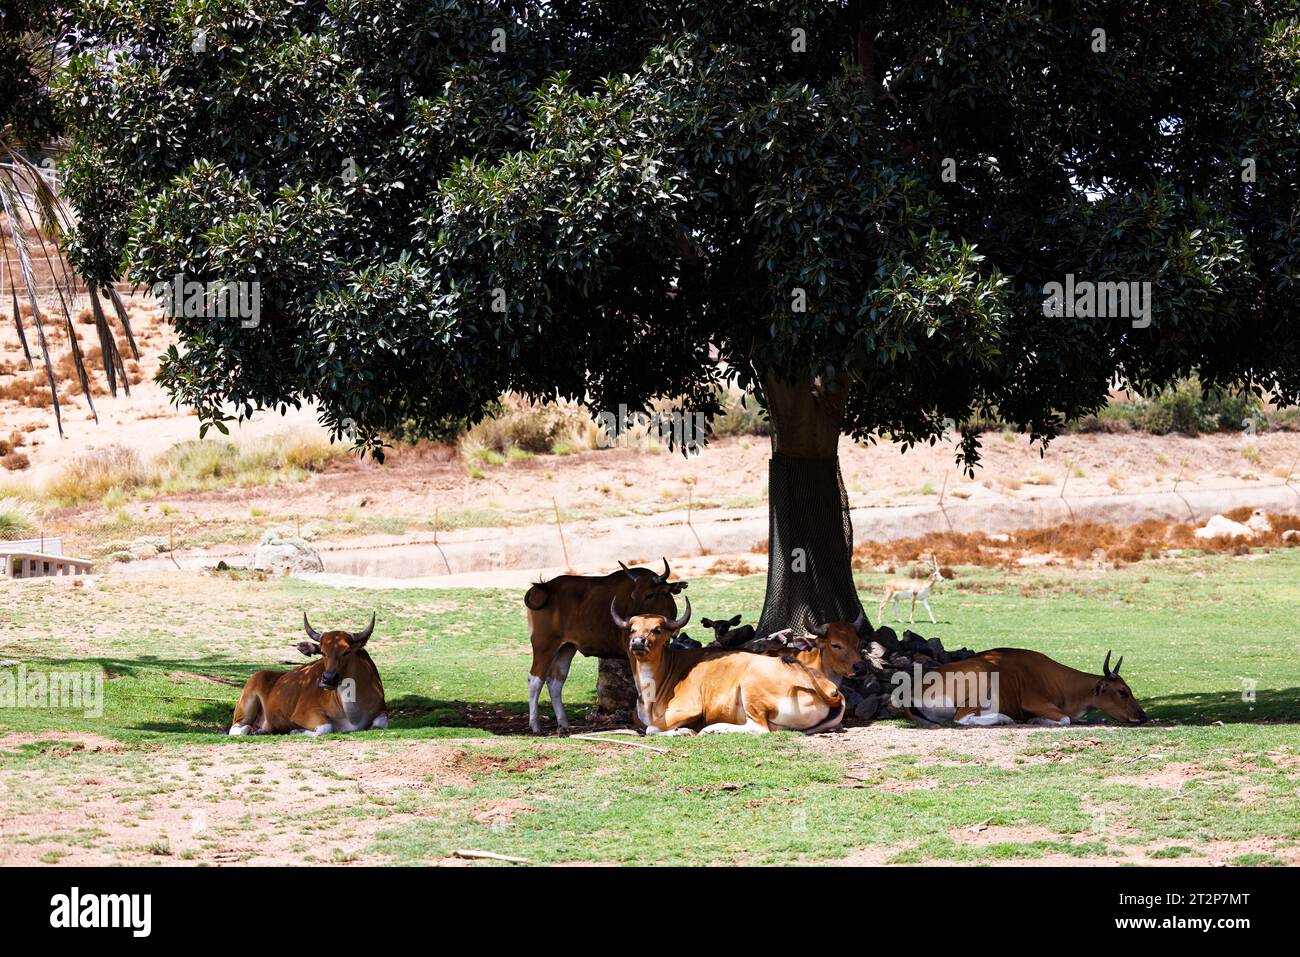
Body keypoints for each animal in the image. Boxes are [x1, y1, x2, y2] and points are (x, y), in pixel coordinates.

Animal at [228, 613, 387, 736]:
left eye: (347, 651)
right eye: (322, 651)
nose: (328, 678)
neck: (351, 713)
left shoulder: (382, 711)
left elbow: (380, 723)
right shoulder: (303, 713)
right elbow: (326, 727)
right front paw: (296, 731)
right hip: (245, 704)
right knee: (237, 728)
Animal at [524, 558, 684, 734]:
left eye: (650, 594)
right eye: (633, 595)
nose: (629, 622)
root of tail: (543, 587)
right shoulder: (632, 651)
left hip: (566, 647)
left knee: (555, 681)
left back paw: (564, 723)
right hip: (544, 644)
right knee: (535, 680)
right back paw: (535, 725)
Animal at [611, 598, 845, 735]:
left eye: (657, 629)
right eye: (632, 629)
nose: (638, 642)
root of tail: (831, 690)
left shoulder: (687, 708)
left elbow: (652, 728)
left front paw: (684, 731)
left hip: (750, 688)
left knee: (759, 728)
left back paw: (713, 729)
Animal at [908, 648, 1148, 727]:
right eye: (1122, 692)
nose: (1143, 716)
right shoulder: (1034, 702)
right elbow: (1065, 719)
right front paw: (1037, 720)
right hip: (982, 678)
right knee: (962, 719)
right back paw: (1004, 719)